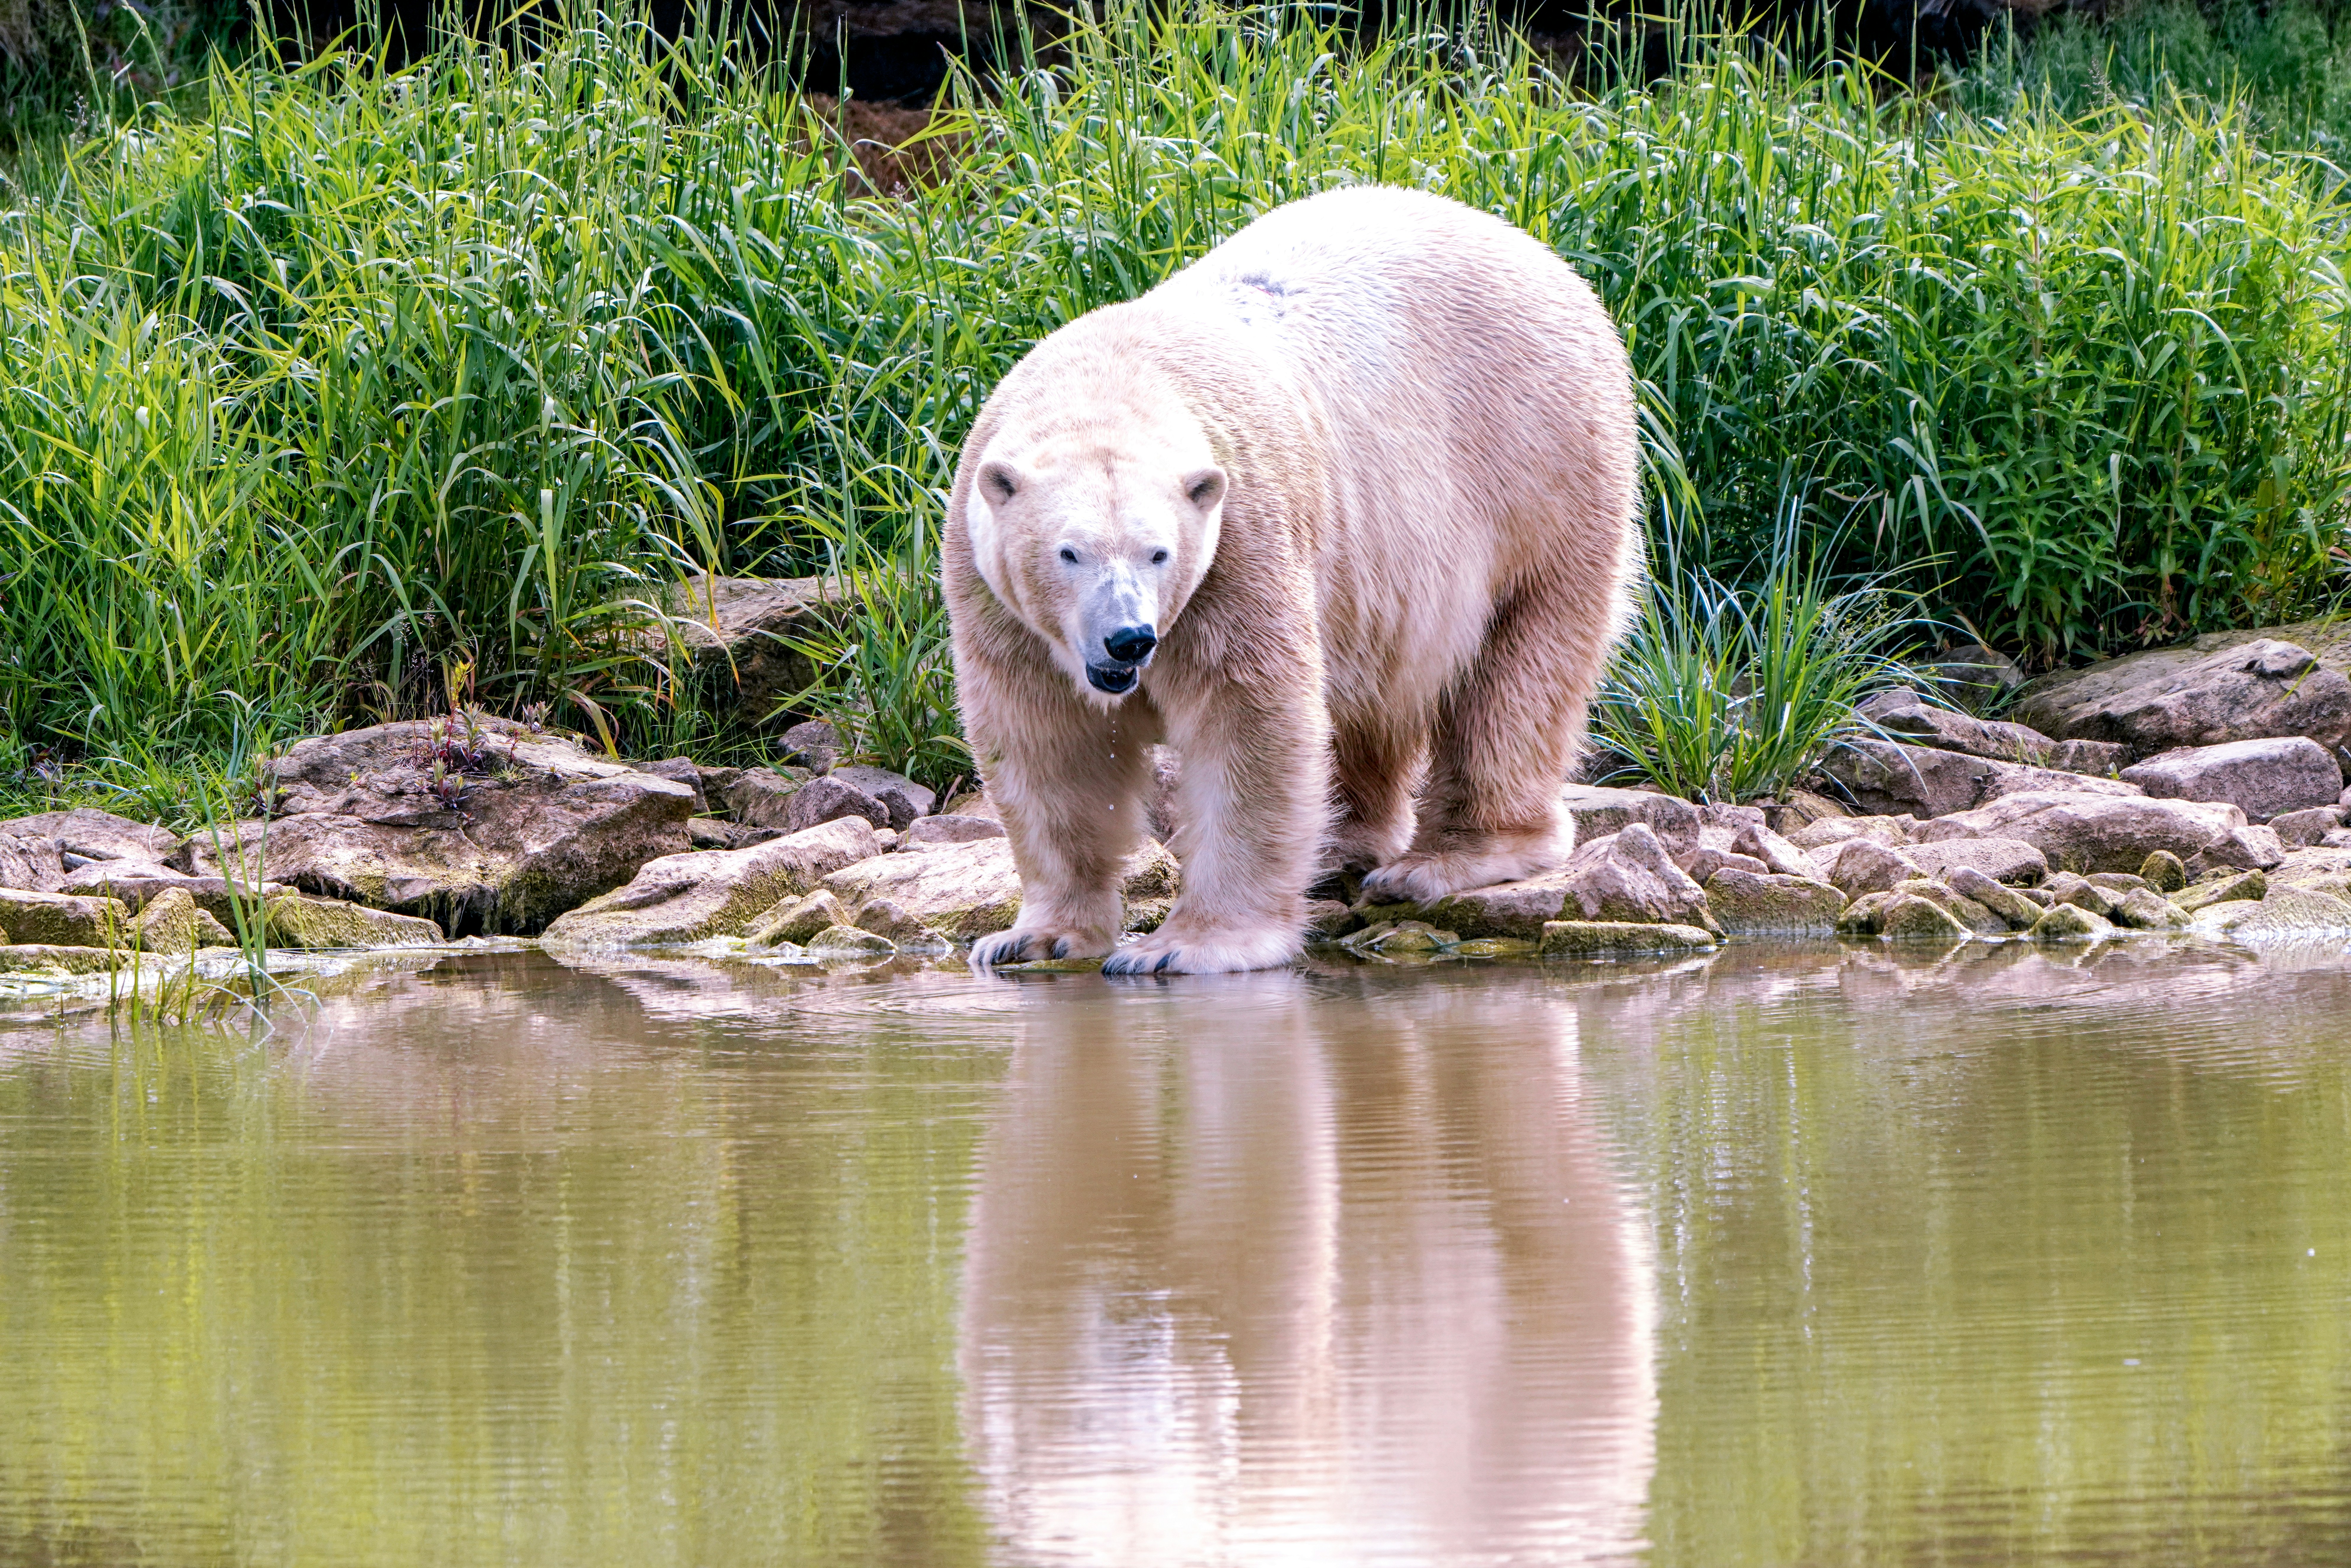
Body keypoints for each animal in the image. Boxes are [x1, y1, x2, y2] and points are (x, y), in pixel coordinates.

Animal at [945, 184, 1642, 974]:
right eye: (1070, 553)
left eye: (1159, 553)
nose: (1129, 639)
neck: (1111, 376)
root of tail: (1541, 253)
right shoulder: (998, 600)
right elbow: (1047, 744)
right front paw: (1035, 936)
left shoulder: (1239, 546)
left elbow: (1249, 724)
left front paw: (1183, 947)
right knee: (1372, 700)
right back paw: (1344, 843)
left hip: (1539, 475)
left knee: (1515, 672)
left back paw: (1444, 860)